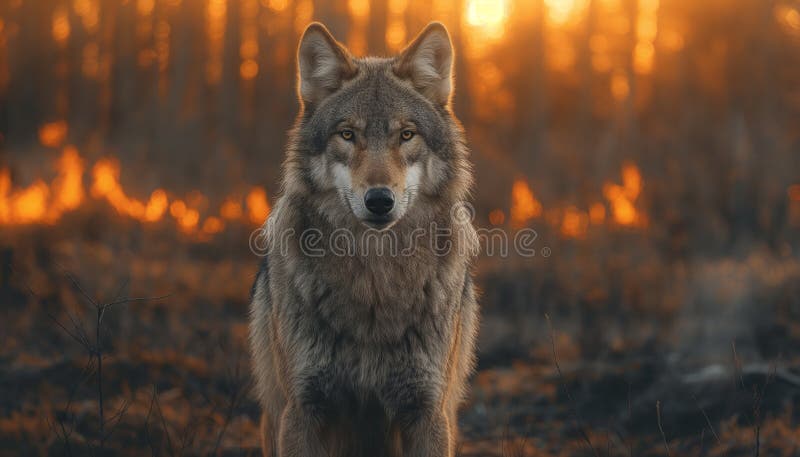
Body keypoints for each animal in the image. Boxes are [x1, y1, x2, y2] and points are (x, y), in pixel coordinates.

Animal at [248, 21, 479, 457]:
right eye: (347, 134)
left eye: (406, 135)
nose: (379, 200)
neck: (375, 281)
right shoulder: (302, 410)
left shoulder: (427, 411)